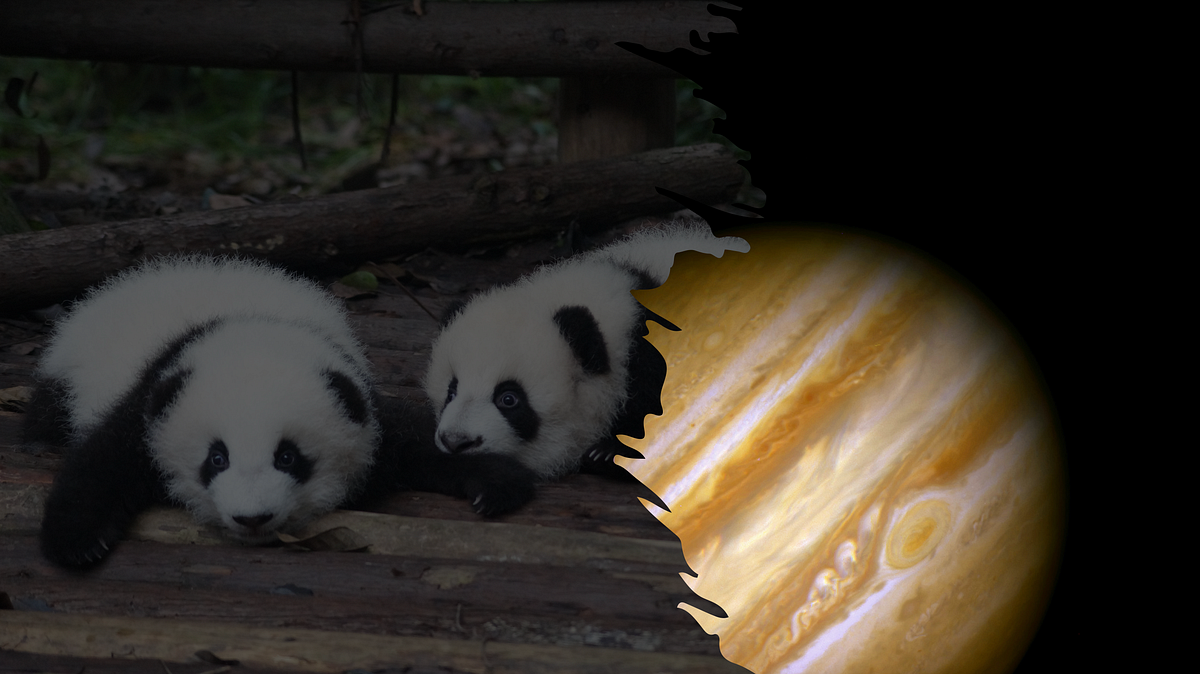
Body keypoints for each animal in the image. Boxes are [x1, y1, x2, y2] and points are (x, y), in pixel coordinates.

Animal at [23, 255, 532, 569]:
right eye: (217, 458)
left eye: (288, 457)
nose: (252, 519)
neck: (254, 328)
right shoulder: (154, 396)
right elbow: (104, 459)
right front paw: (77, 542)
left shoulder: (356, 395)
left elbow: (416, 438)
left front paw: (495, 481)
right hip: (66, 377)